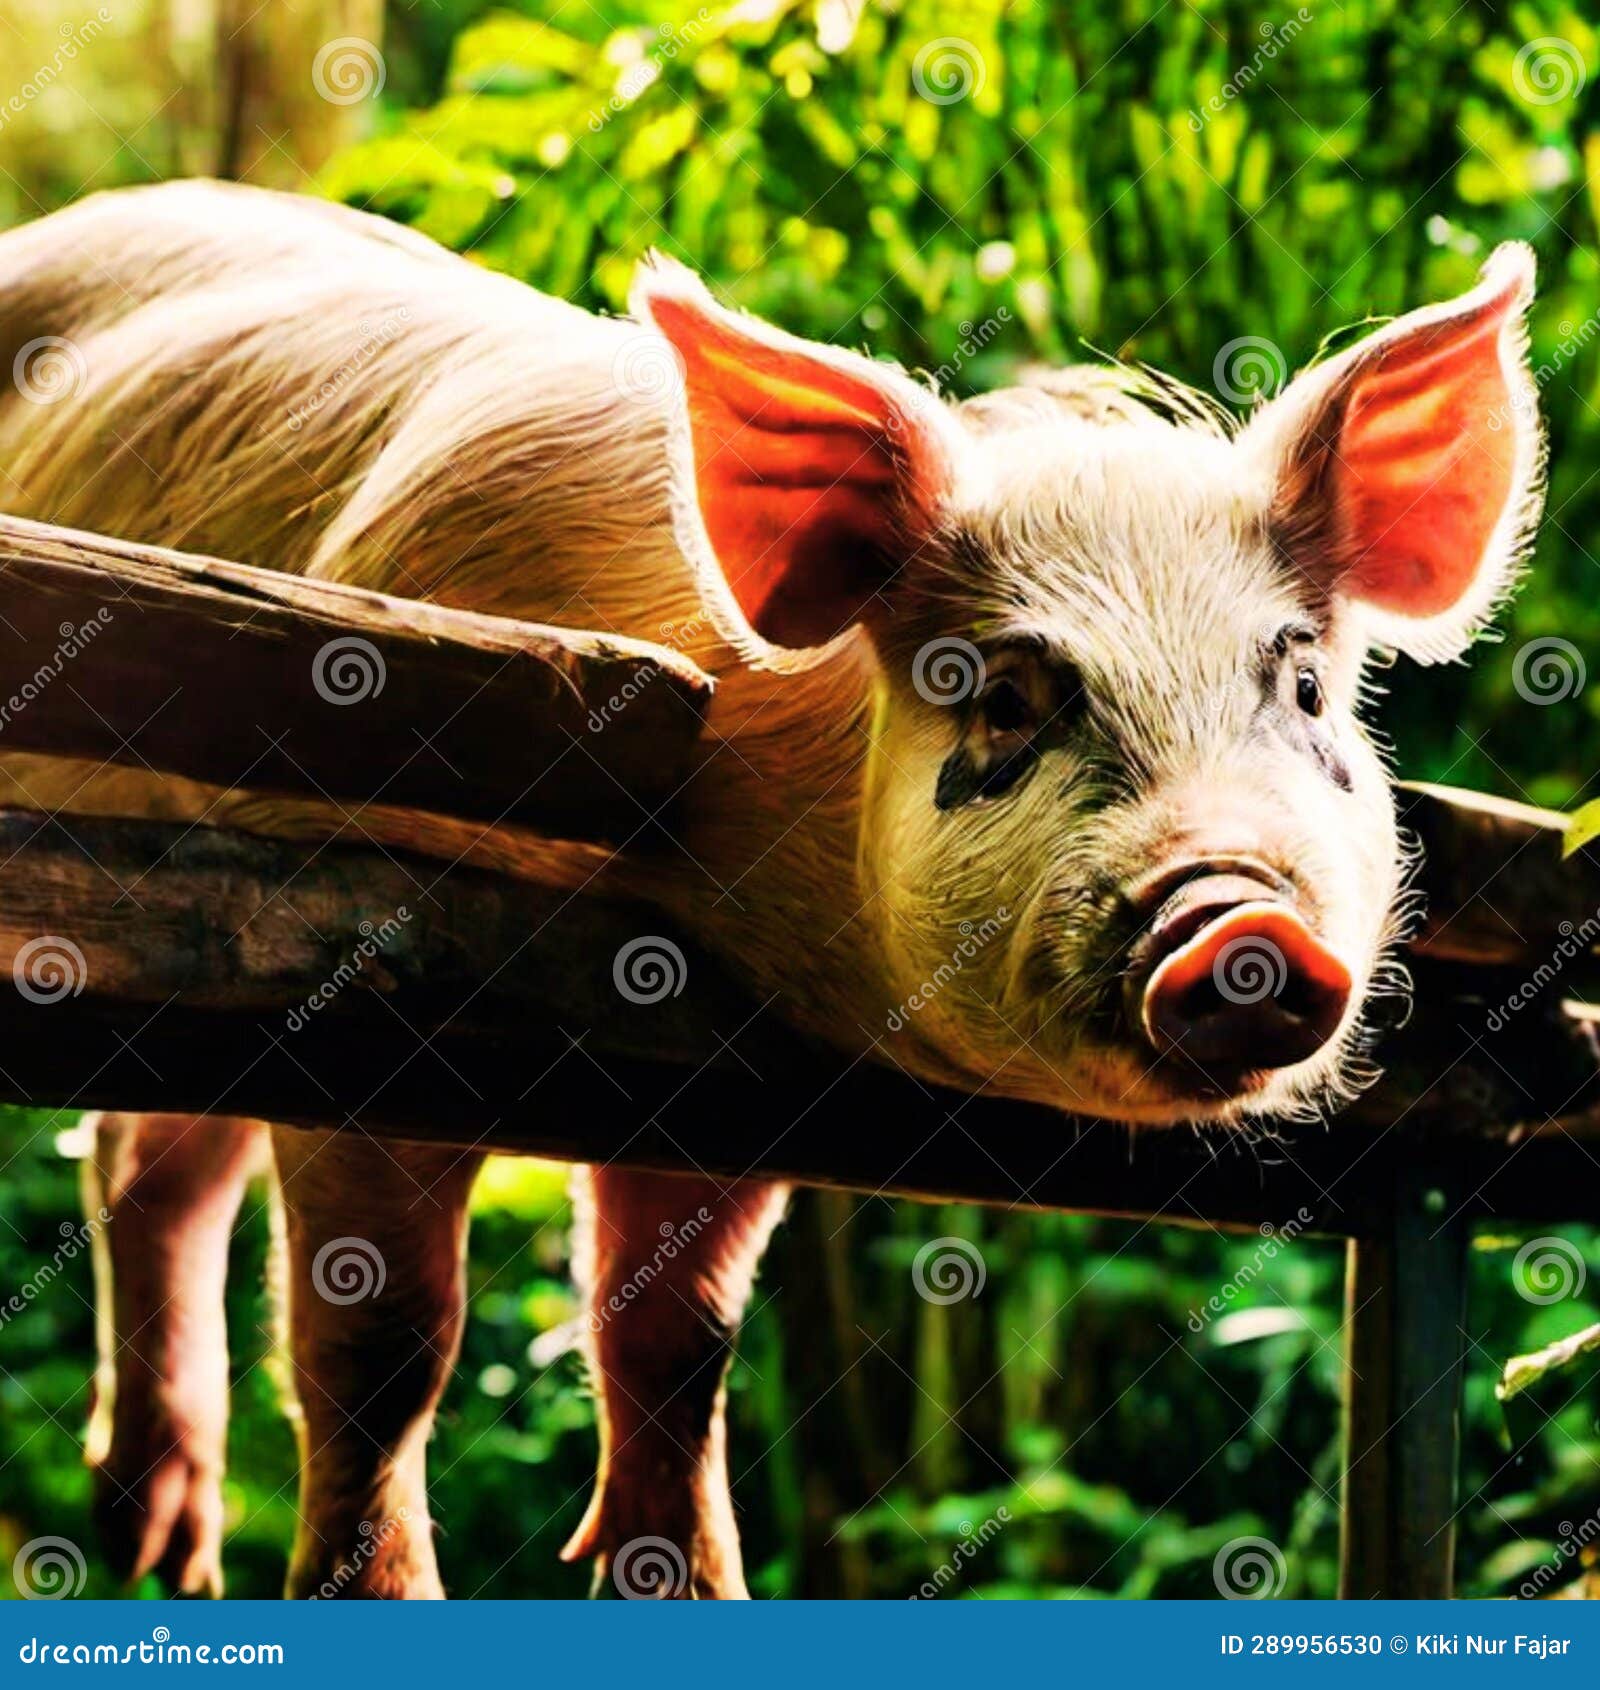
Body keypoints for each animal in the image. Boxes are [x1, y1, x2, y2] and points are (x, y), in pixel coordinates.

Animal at [0, 181, 1541, 1597]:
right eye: (1004, 697)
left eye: (1303, 689)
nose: (1245, 916)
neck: (698, 877)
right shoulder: (361, 945)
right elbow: (386, 1347)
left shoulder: (735, 1061)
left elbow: (680, 1332)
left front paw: (680, 1580)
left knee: (150, 1158)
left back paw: (162, 1546)